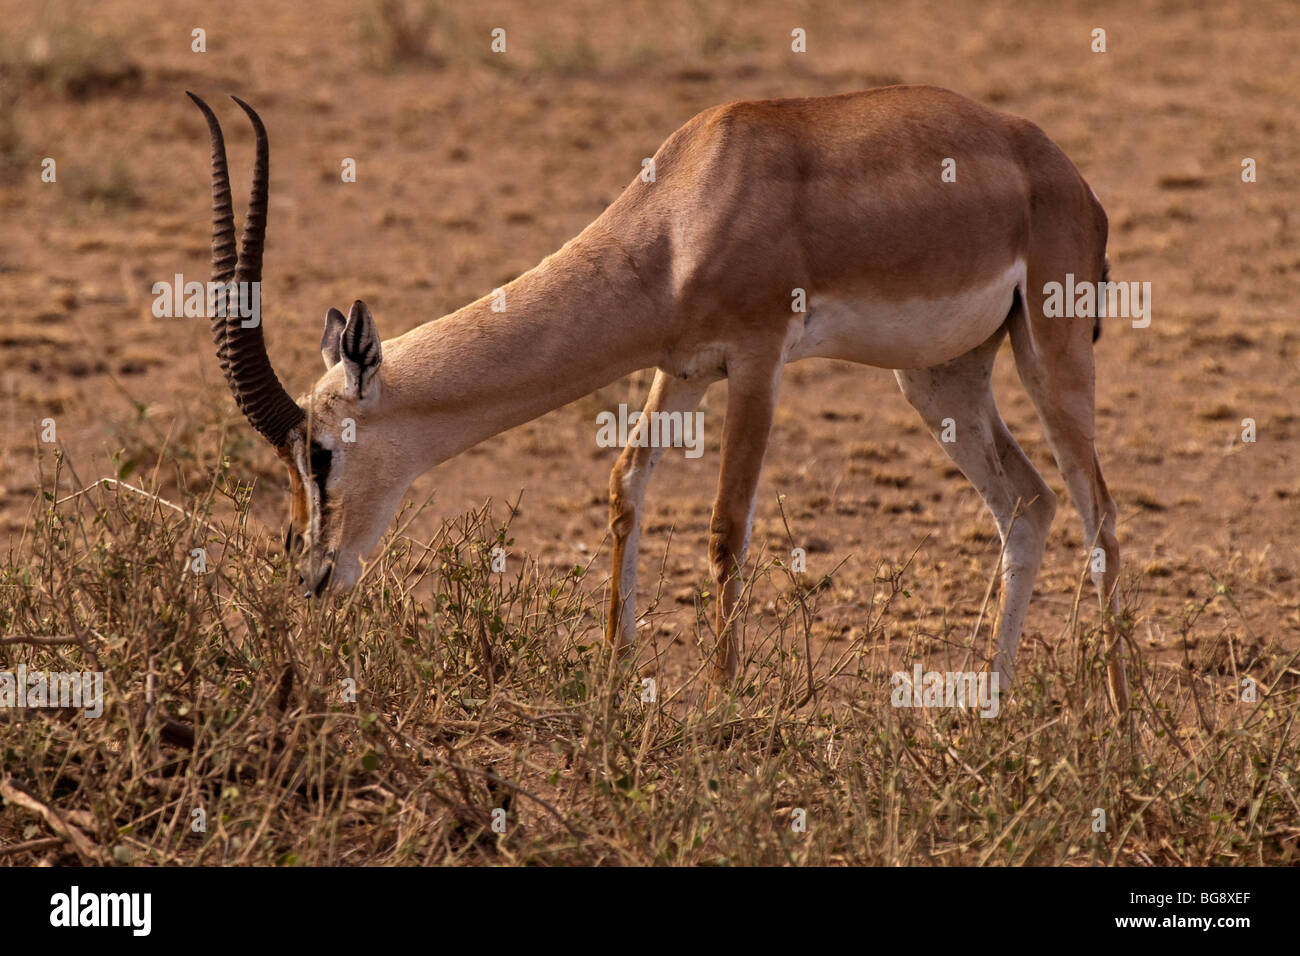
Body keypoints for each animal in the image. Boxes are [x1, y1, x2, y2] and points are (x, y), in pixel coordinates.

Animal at [187, 85, 1128, 713]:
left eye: (320, 452)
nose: (310, 571)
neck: (690, 205)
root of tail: (1069, 178)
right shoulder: (682, 369)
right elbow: (626, 487)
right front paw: (615, 668)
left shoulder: (757, 361)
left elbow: (724, 526)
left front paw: (719, 704)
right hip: (941, 377)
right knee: (1029, 504)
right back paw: (987, 711)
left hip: (1051, 358)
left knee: (1100, 513)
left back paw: (1120, 723)